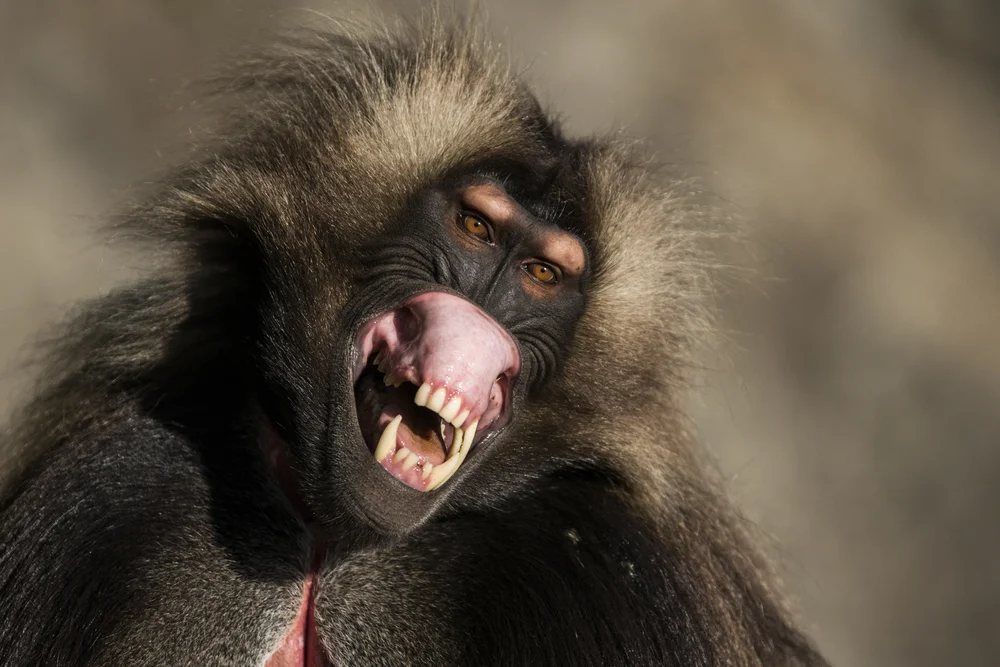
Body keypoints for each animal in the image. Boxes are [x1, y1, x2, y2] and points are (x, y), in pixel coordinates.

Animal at [0, 18, 827, 667]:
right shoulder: (115, 483)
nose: (484, 305)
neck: (331, 542)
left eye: (541, 274)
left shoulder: (611, 570)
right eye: (475, 227)